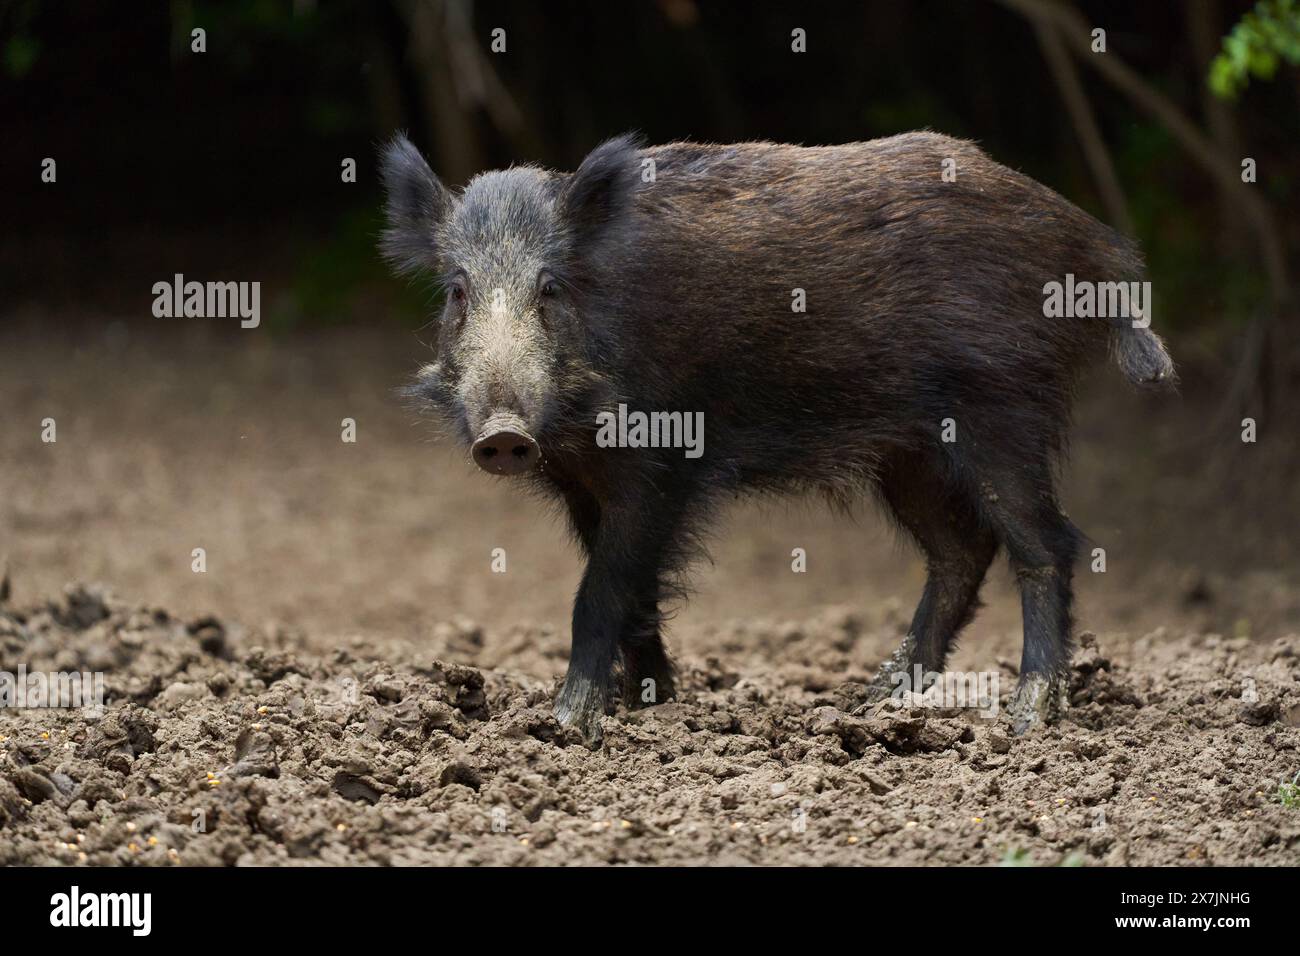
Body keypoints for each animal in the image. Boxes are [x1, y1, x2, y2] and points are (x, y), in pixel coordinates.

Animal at [380, 131, 1174, 739]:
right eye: (457, 292)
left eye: (549, 289)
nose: (503, 436)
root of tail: (1090, 244)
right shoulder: (582, 484)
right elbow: (632, 590)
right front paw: (652, 701)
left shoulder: (661, 462)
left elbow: (601, 589)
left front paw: (567, 725)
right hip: (910, 452)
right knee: (961, 551)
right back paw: (878, 701)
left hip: (1003, 410)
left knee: (1046, 544)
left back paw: (1027, 719)